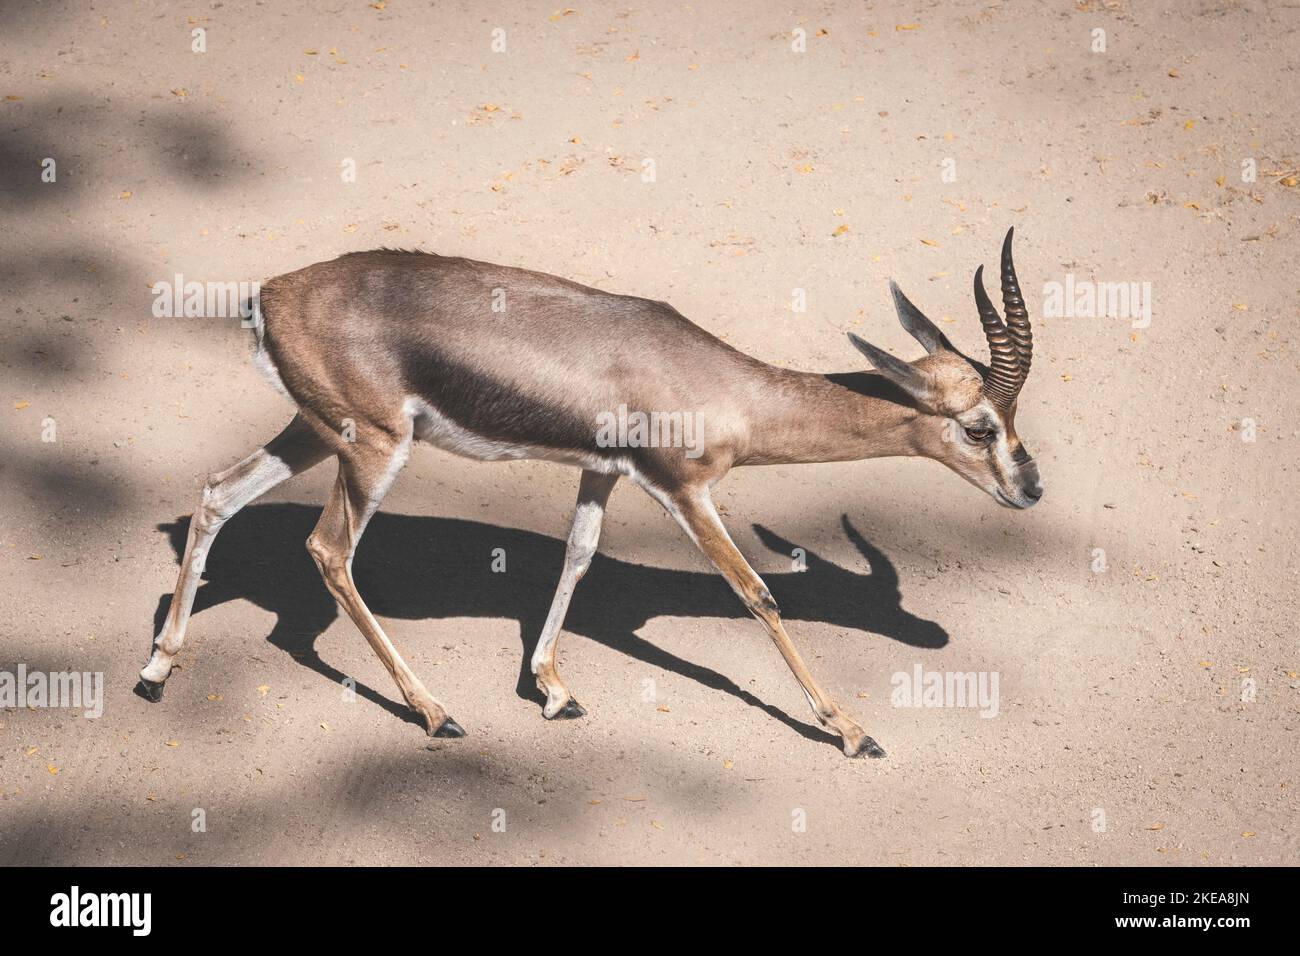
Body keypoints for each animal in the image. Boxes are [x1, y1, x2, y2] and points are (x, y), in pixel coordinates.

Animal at [139, 228, 1040, 758]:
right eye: (980, 427)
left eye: (1011, 419)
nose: (1029, 489)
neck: (725, 386)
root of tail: (270, 293)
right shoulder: (685, 492)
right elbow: (758, 593)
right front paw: (852, 731)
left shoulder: (602, 471)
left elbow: (577, 557)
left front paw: (554, 689)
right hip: (373, 449)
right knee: (329, 550)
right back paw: (436, 712)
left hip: (316, 432)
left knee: (217, 494)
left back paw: (156, 670)